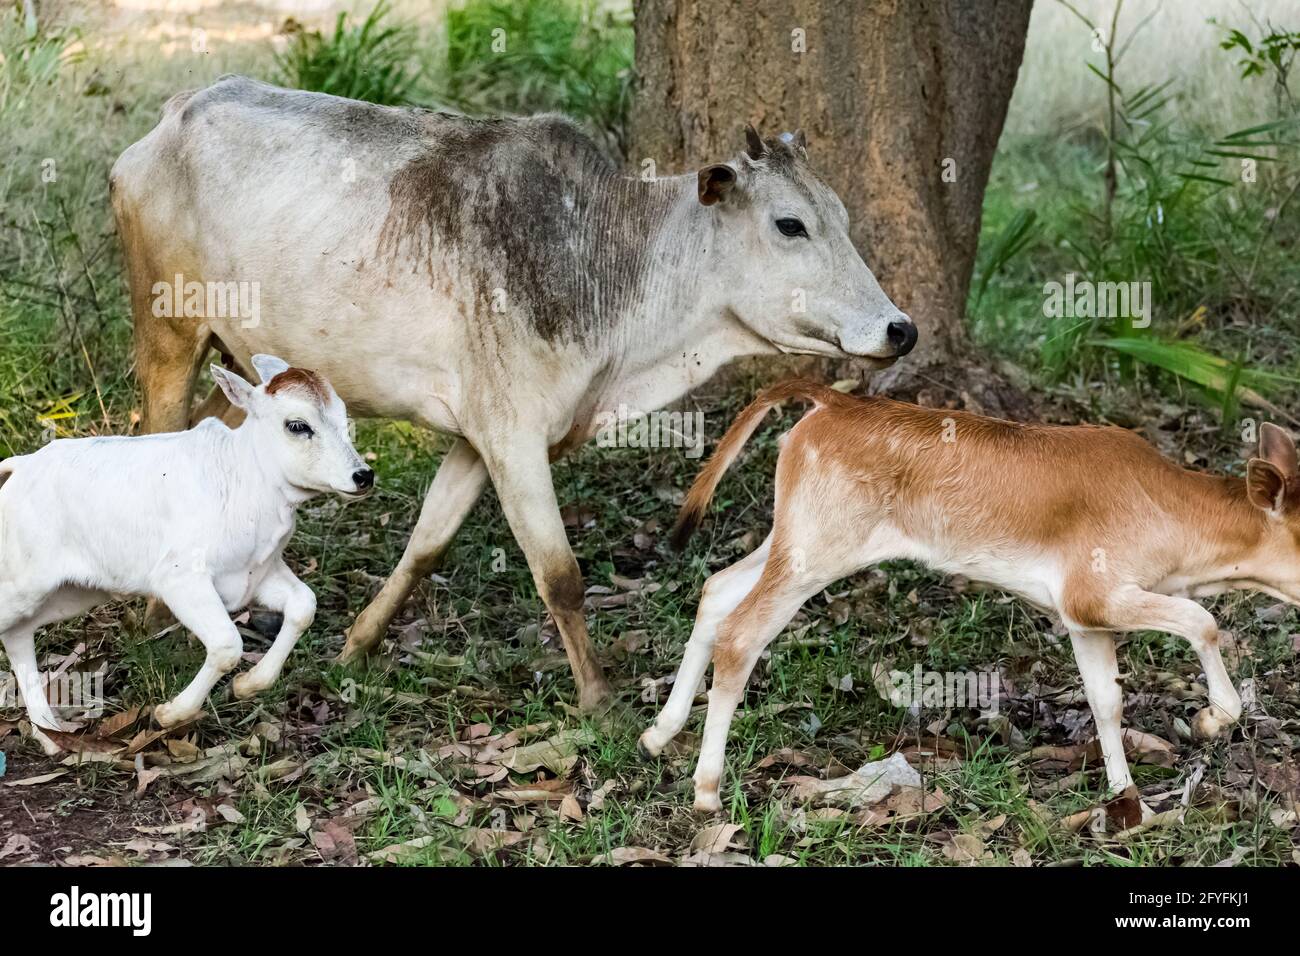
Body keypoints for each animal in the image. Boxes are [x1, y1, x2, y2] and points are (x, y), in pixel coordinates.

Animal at [0, 356, 370, 755]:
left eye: (343, 418)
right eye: (298, 425)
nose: (363, 475)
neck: (247, 479)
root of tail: (21, 466)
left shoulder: (258, 573)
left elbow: (304, 605)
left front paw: (247, 684)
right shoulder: (179, 577)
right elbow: (227, 645)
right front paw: (169, 714)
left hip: (72, 591)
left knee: (18, 635)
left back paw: (49, 734)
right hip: (24, 582)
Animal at [110, 76, 917, 711]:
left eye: (841, 217)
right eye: (790, 224)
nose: (899, 328)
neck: (605, 260)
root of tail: (170, 116)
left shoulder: (479, 438)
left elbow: (427, 544)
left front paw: (356, 645)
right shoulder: (514, 435)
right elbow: (559, 573)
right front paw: (598, 699)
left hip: (241, 364)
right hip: (170, 331)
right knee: (155, 432)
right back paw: (151, 615)